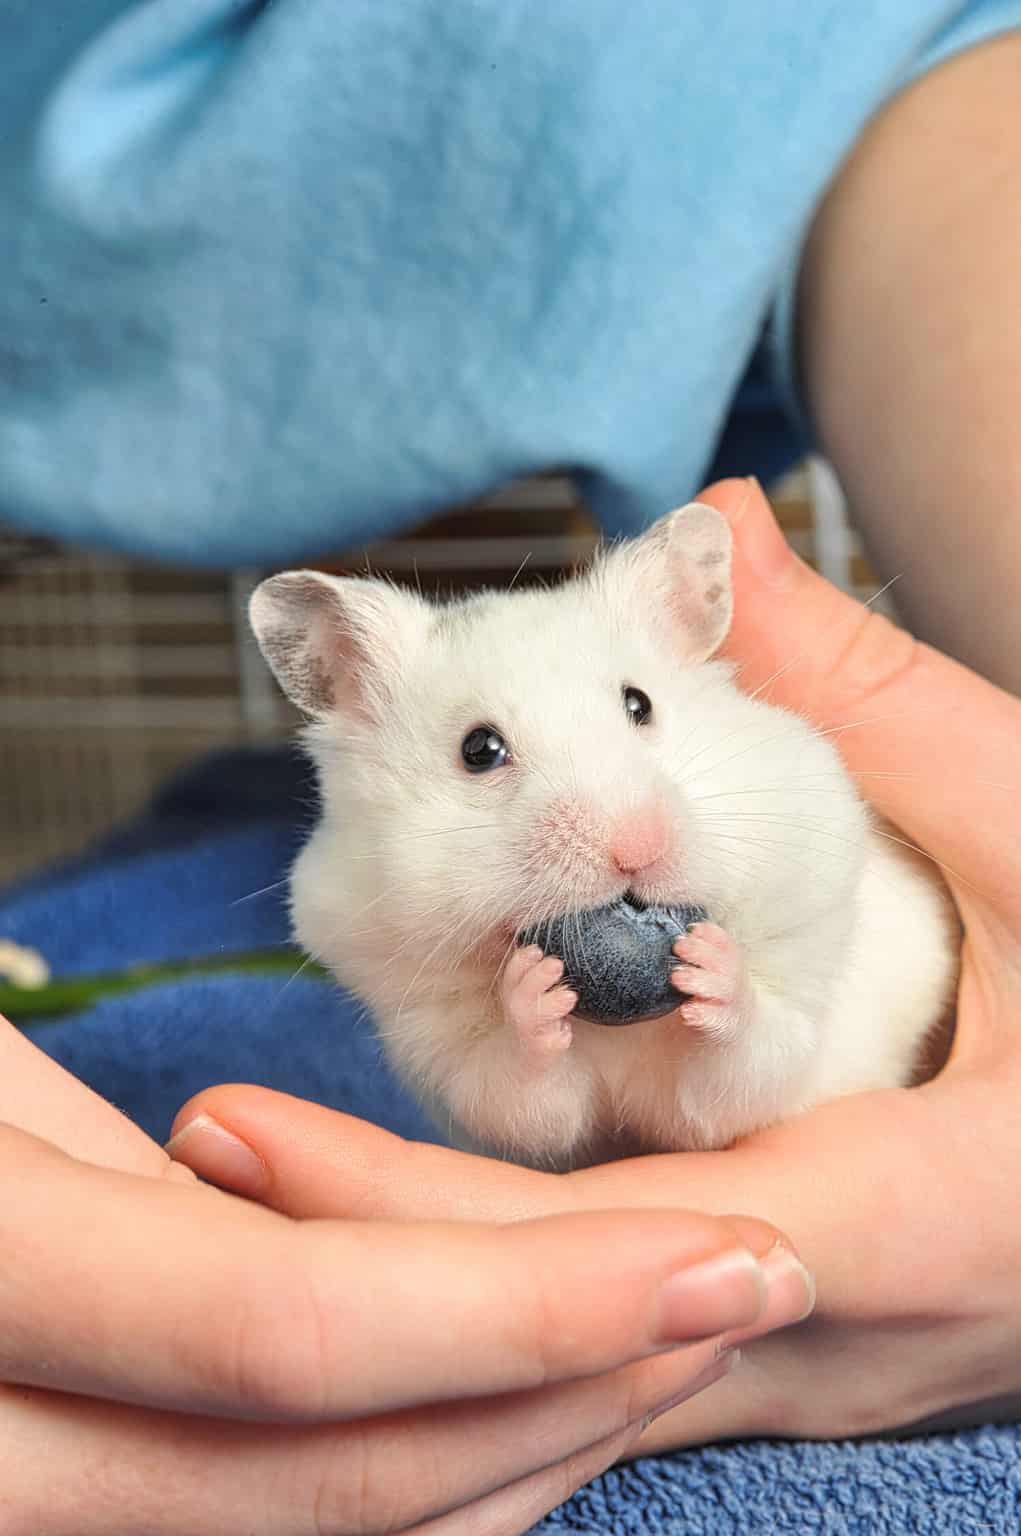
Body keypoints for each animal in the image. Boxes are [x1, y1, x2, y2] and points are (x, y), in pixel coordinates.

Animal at [249, 502, 957, 1169]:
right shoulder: (443, 1047)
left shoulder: (794, 1010)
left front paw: (710, 963)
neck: (619, 1030)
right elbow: (520, 1094)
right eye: (479, 750)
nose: (636, 849)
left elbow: (747, 1065)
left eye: (639, 703)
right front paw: (533, 989)